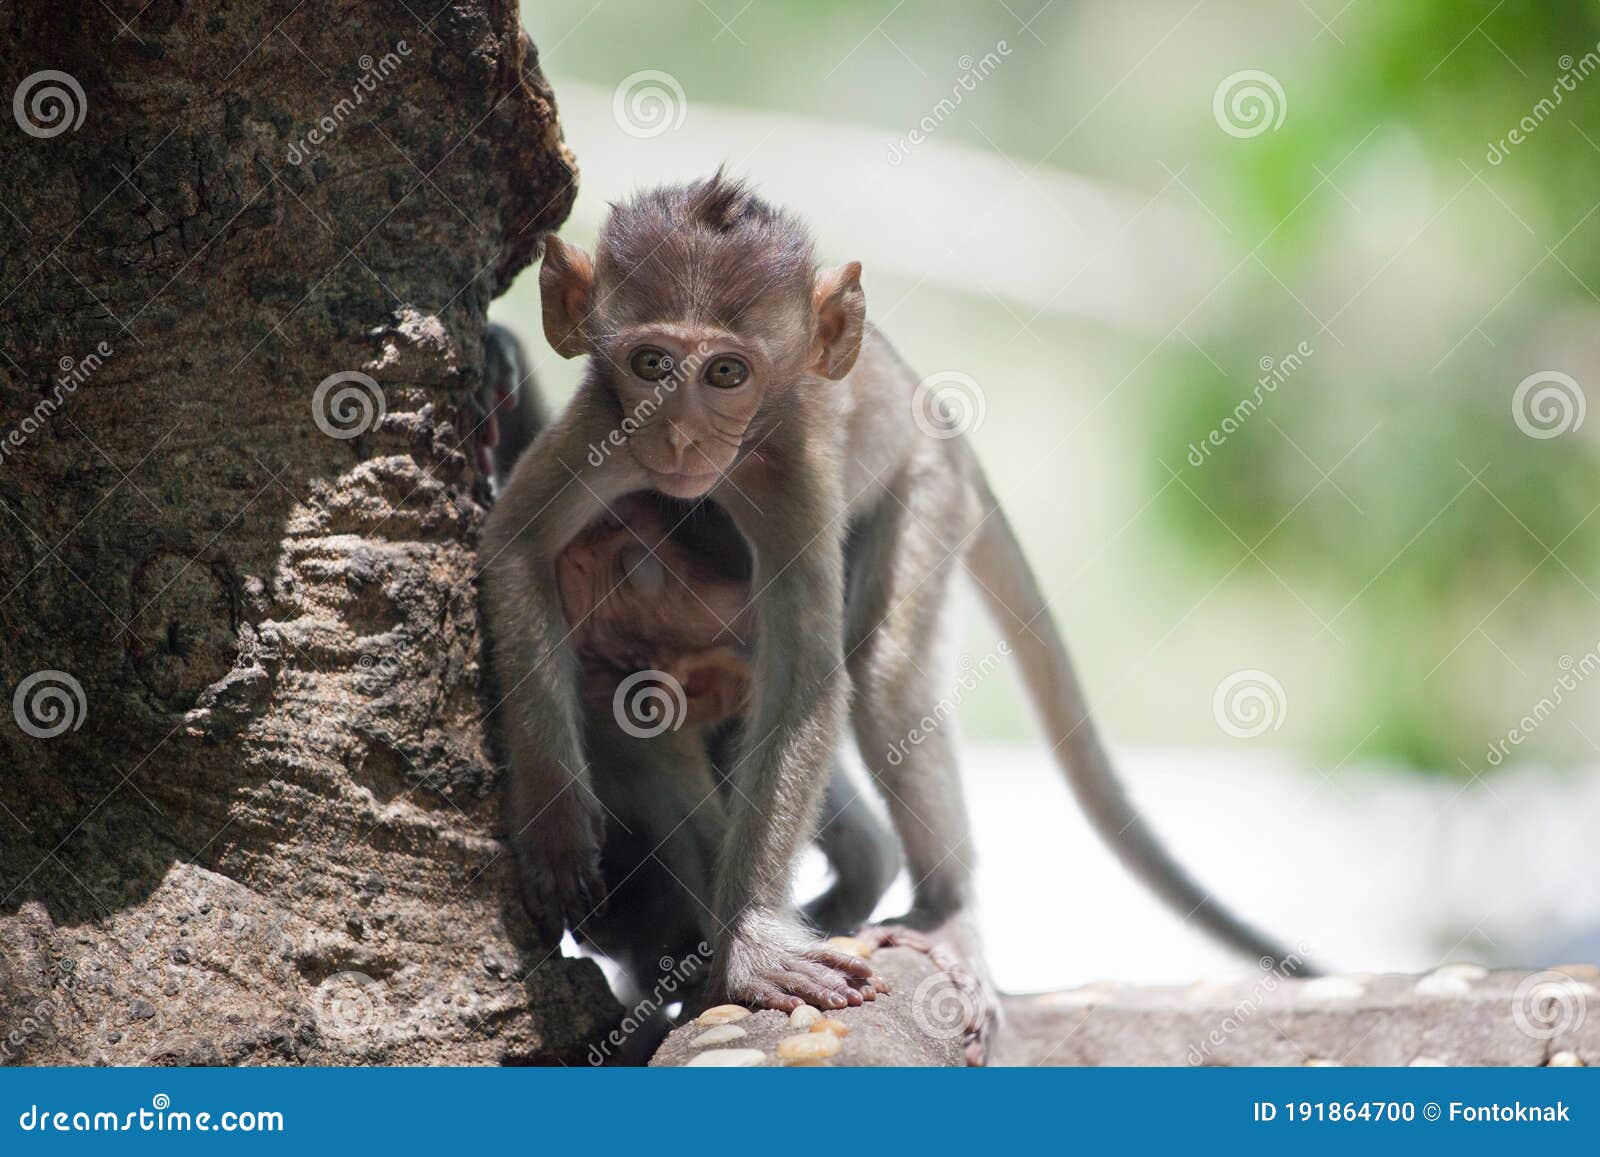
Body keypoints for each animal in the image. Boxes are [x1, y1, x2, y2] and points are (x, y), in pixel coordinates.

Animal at [481, 173, 1310, 1058]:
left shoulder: (791, 465)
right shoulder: (607, 422)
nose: (678, 437)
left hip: (930, 487)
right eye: (651, 363)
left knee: (884, 675)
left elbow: (807, 675)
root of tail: (930, 404)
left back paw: (938, 909)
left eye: (727, 373)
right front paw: (557, 828)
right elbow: (518, 547)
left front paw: (747, 944)